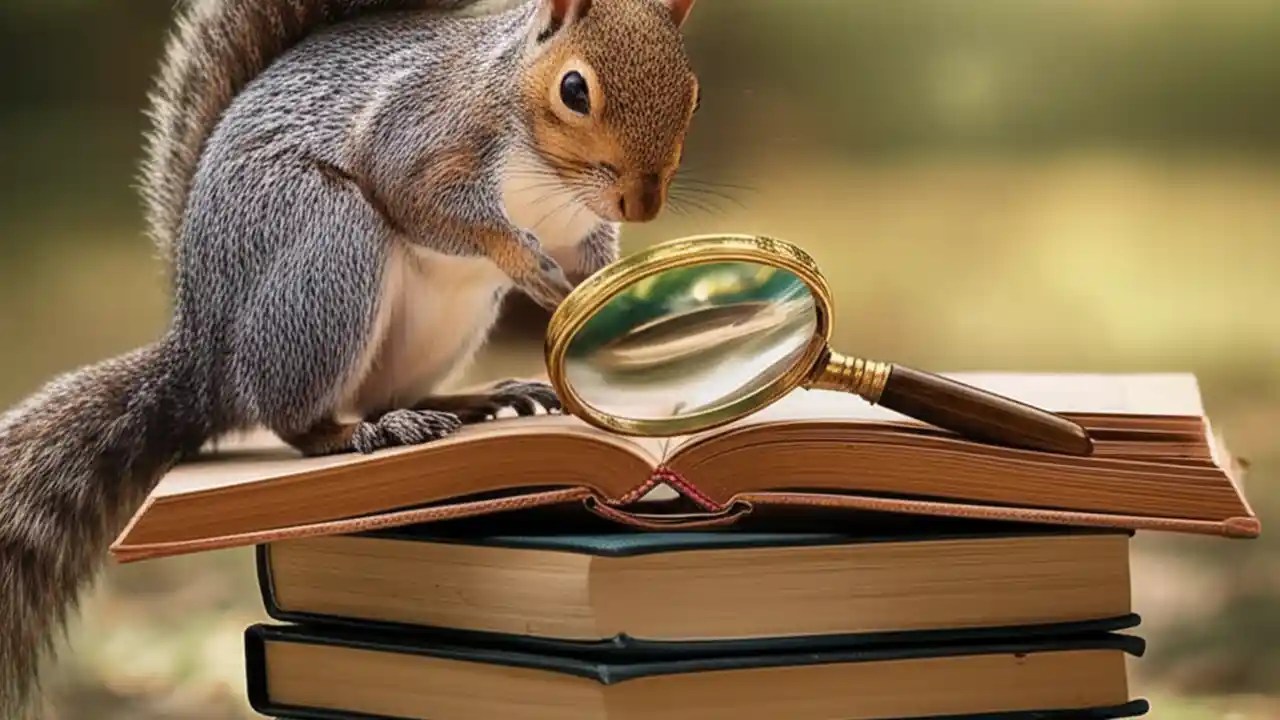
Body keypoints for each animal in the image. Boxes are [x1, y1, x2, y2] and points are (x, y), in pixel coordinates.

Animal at [0, 0, 700, 714]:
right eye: (574, 90)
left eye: (692, 91)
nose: (643, 204)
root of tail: (204, 355)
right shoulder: (420, 136)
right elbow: (430, 205)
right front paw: (523, 259)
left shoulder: (582, 231)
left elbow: (593, 266)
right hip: (328, 249)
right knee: (294, 419)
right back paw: (360, 433)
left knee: (381, 393)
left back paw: (467, 401)